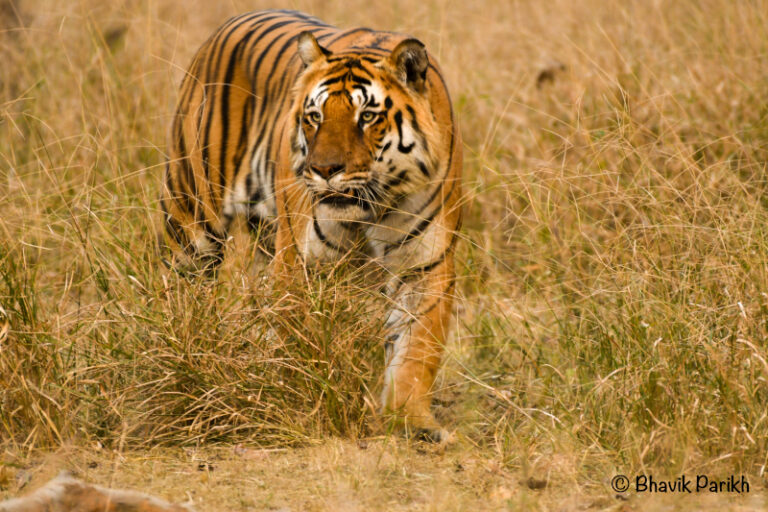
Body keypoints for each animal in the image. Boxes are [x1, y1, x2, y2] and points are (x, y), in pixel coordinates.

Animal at [159, 10, 462, 442]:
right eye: (315, 117)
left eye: (366, 117)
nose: (324, 170)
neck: (372, 207)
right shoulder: (300, 263)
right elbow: (299, 342)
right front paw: (301, 402)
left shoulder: (424, 266)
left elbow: (417, 351)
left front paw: (411, 420)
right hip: (193, 220)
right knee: (182, 288)